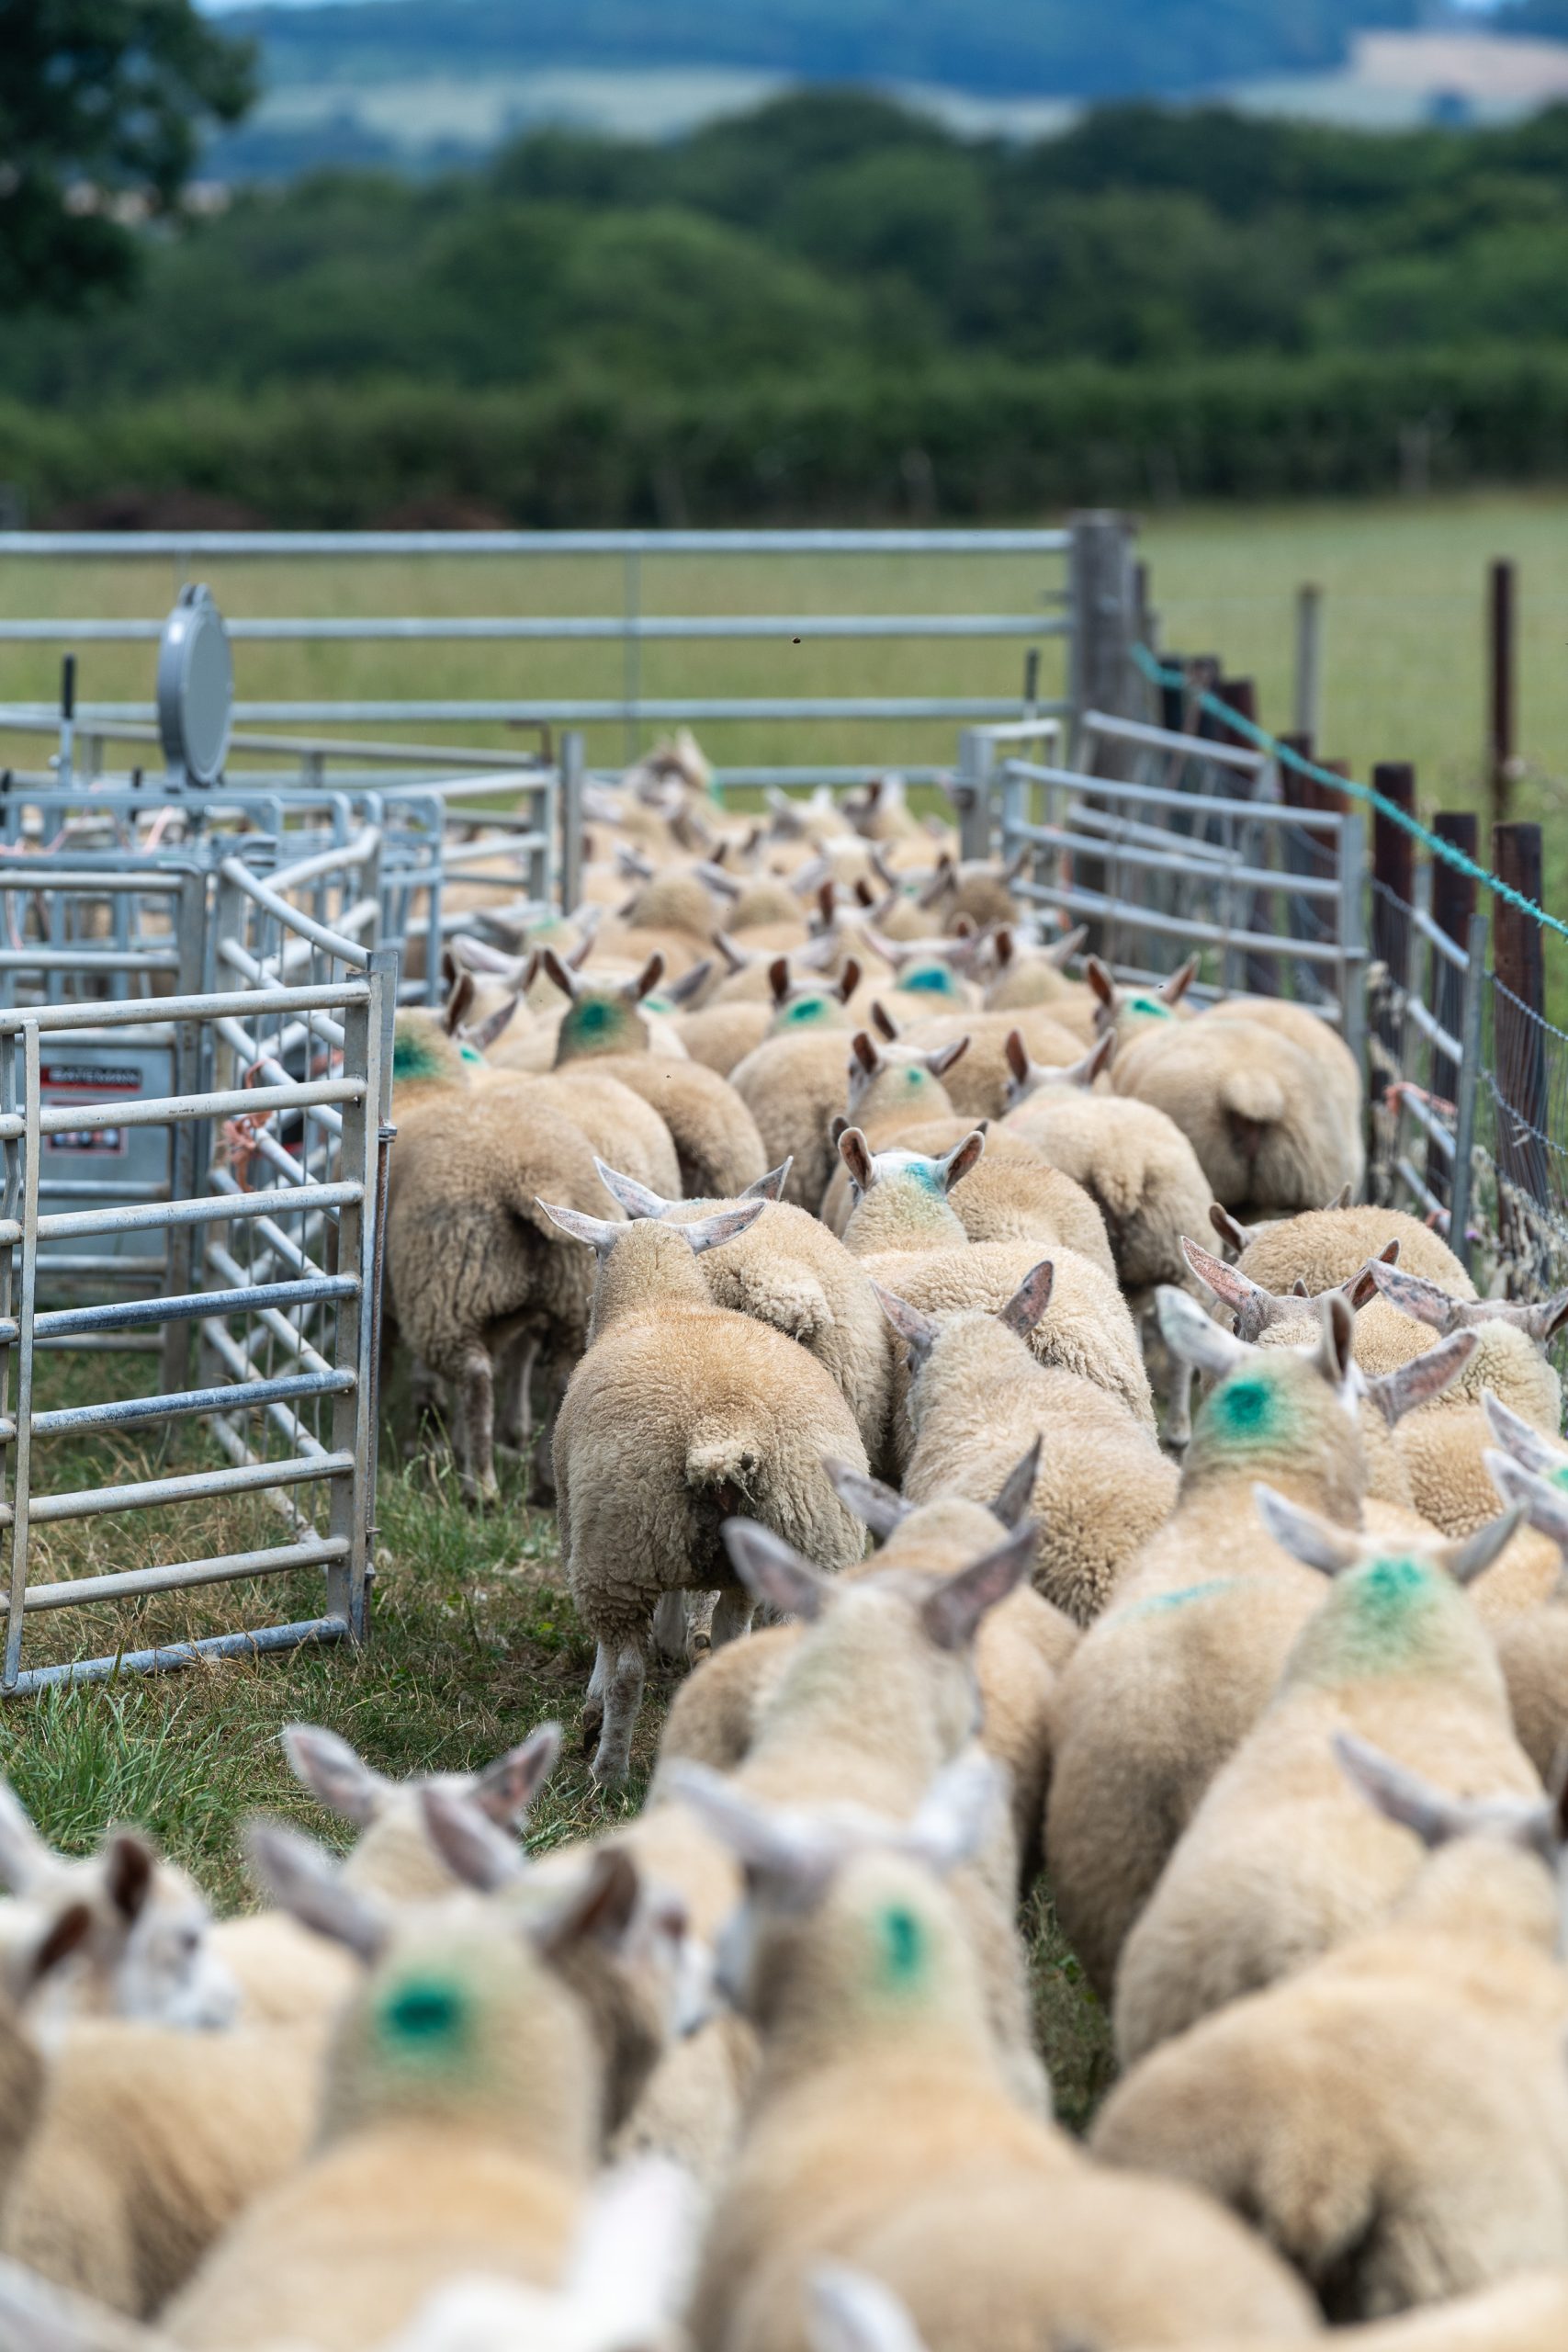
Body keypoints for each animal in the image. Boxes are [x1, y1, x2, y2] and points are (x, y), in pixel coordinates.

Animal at [541, 1204, 869, 1781]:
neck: (661, 1300)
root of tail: (723, 1427)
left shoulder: (577, 1524)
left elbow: (608, 1660)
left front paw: (590, 1709)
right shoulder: (739, 1581)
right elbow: (729, 1636)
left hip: (618, 1548)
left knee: (629, 1670)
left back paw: (607, 1772)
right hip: (809, 1543)